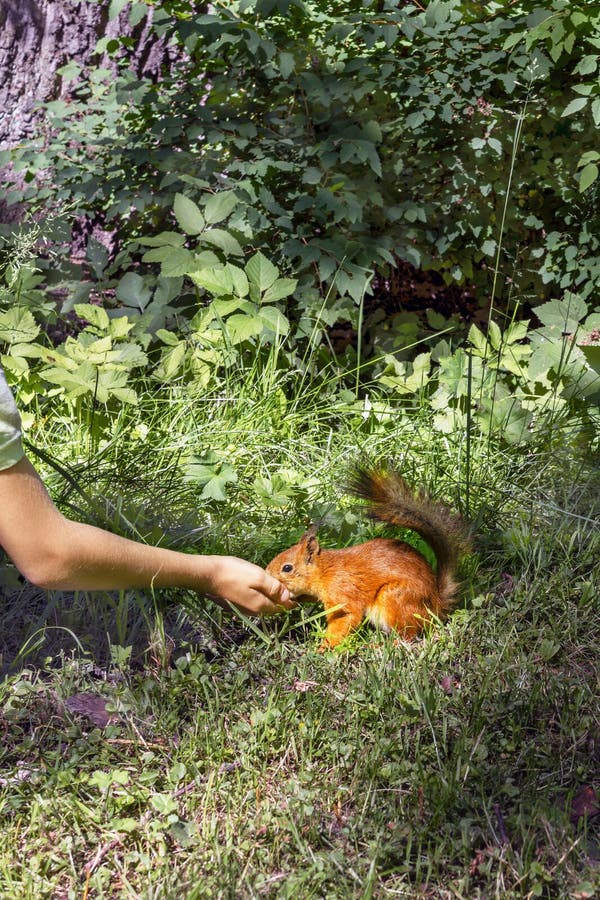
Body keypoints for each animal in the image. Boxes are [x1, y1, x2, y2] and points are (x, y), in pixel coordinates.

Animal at [266, 466, 470, 649]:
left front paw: (324, 647)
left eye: (287, 568)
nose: (267, 574)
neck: (325, 571)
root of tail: (435, 604)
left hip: (394, 599)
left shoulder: (342, 593)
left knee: (409, 635)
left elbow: (347, 617)